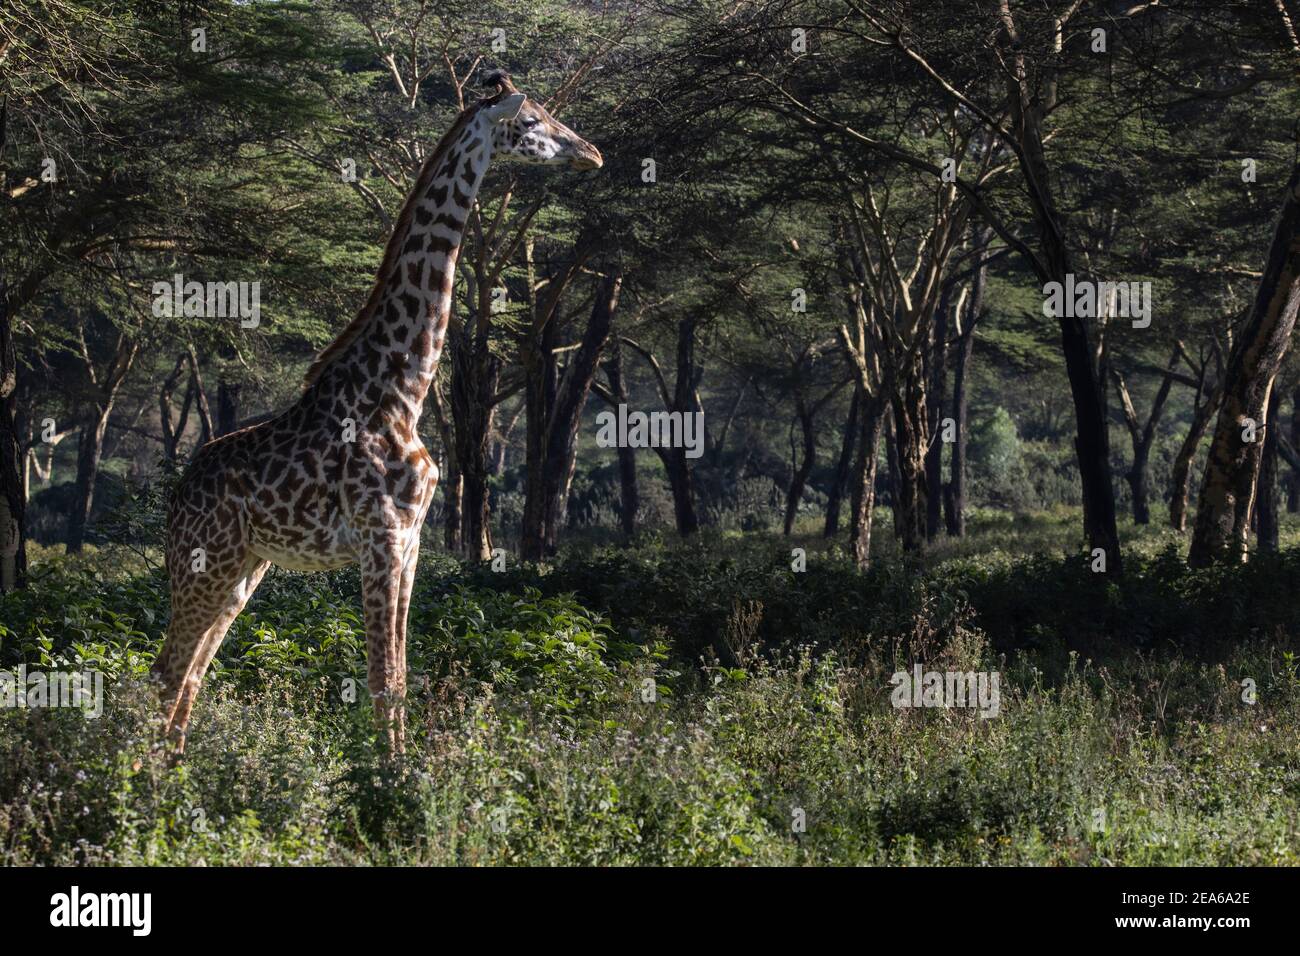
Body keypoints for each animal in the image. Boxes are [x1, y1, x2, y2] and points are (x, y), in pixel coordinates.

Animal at [152, 71, 602, 754]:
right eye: (533, 121)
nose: (593, 153)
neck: (403, 390)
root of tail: (177, 497)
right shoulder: (381, 535)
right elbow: (382, 678)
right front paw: (389, 779)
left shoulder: (411, 540)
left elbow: (400, 674)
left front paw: (400, 768)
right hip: (206, 561)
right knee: (167, 670)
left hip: (243, 569)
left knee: (190, 673)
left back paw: (172, 771)